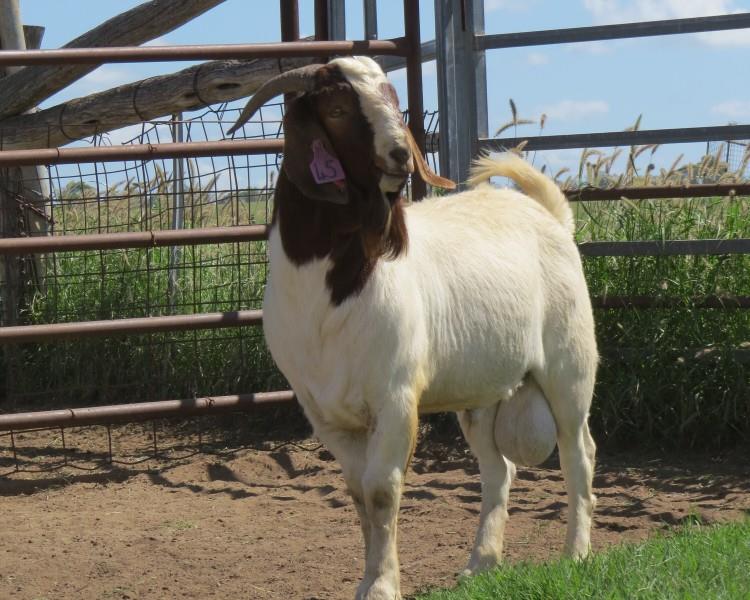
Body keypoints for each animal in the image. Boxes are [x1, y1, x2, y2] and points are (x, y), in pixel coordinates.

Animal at [229, 56, 598, 600]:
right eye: (336, 109)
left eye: (393, 98)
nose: (401, 155)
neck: (329, 291)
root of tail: (551, 215)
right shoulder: (324, 413)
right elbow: (357, 494)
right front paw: (367, 582)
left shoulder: (396, 396)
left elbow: (382, 492)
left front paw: (383, 586)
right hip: (481, 393)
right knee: (499, 470)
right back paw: (481, 564)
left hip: (569, 366)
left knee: (578, 453)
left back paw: (575, 554)